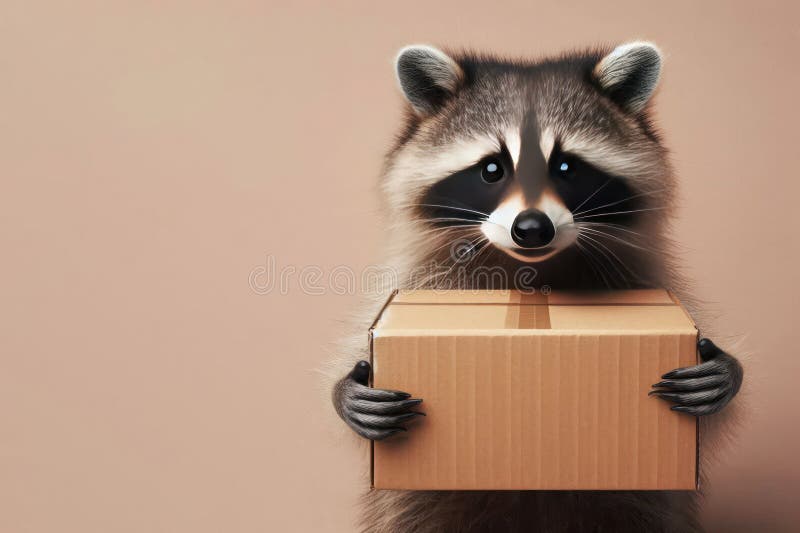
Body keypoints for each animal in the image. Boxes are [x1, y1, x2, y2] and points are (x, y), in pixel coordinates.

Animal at [330, 42, 744, 532]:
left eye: (566, 167)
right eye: (492, 169)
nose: (532, 229)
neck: (530, 278)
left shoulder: (646, 275)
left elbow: (706, 433)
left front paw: (725, 368)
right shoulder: (418, 277)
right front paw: (346, 387)